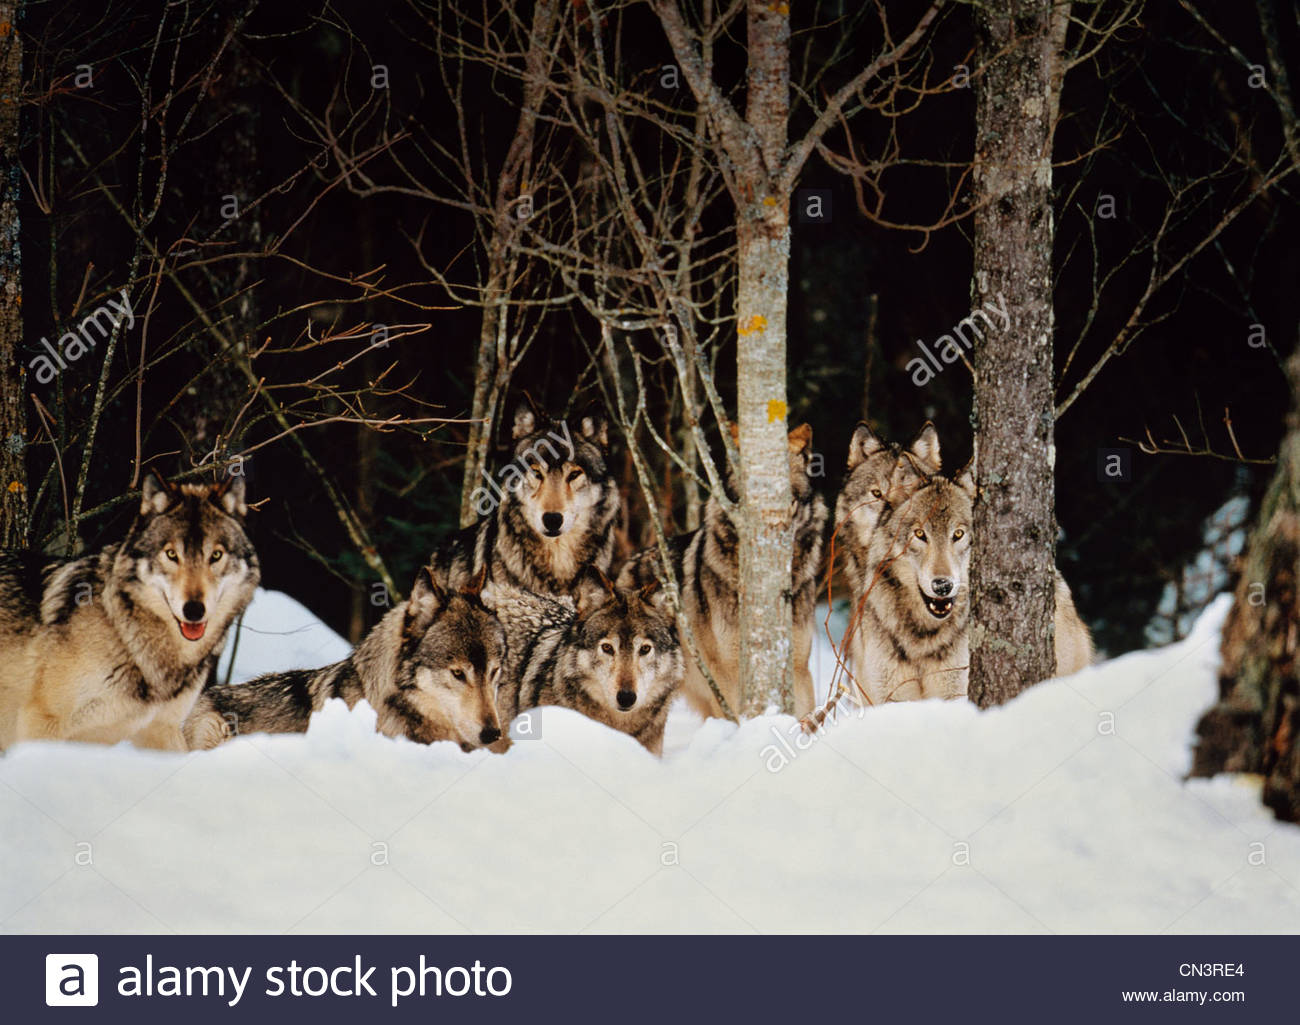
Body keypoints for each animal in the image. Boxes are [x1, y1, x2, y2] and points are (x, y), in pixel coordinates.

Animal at [855, 465, 1093, 705]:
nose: (942, 585)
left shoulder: (955, 692)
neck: (924, 636)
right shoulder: (891, 697)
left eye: (958, 534)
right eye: (920, 534)